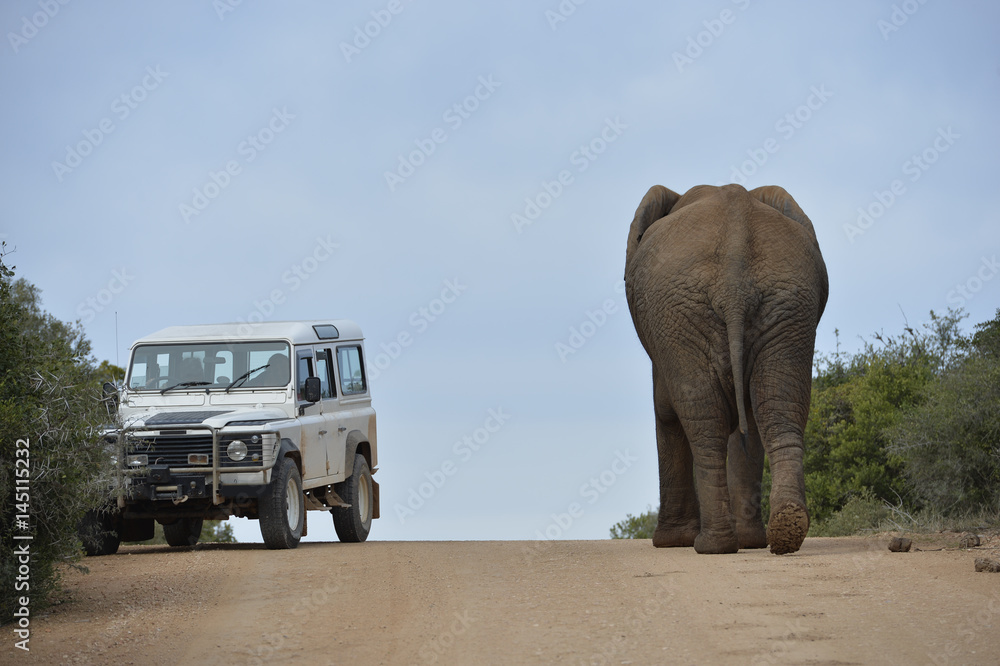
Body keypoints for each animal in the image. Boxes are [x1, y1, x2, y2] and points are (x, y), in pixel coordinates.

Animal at [623, 183, 828, 554]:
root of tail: (735, 282)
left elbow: (666, 410)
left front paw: (671, 542)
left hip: (679, 314)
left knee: (705, 419)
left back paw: (709, 545)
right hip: (789, 306)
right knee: (777, 407)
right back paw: (779, 531)